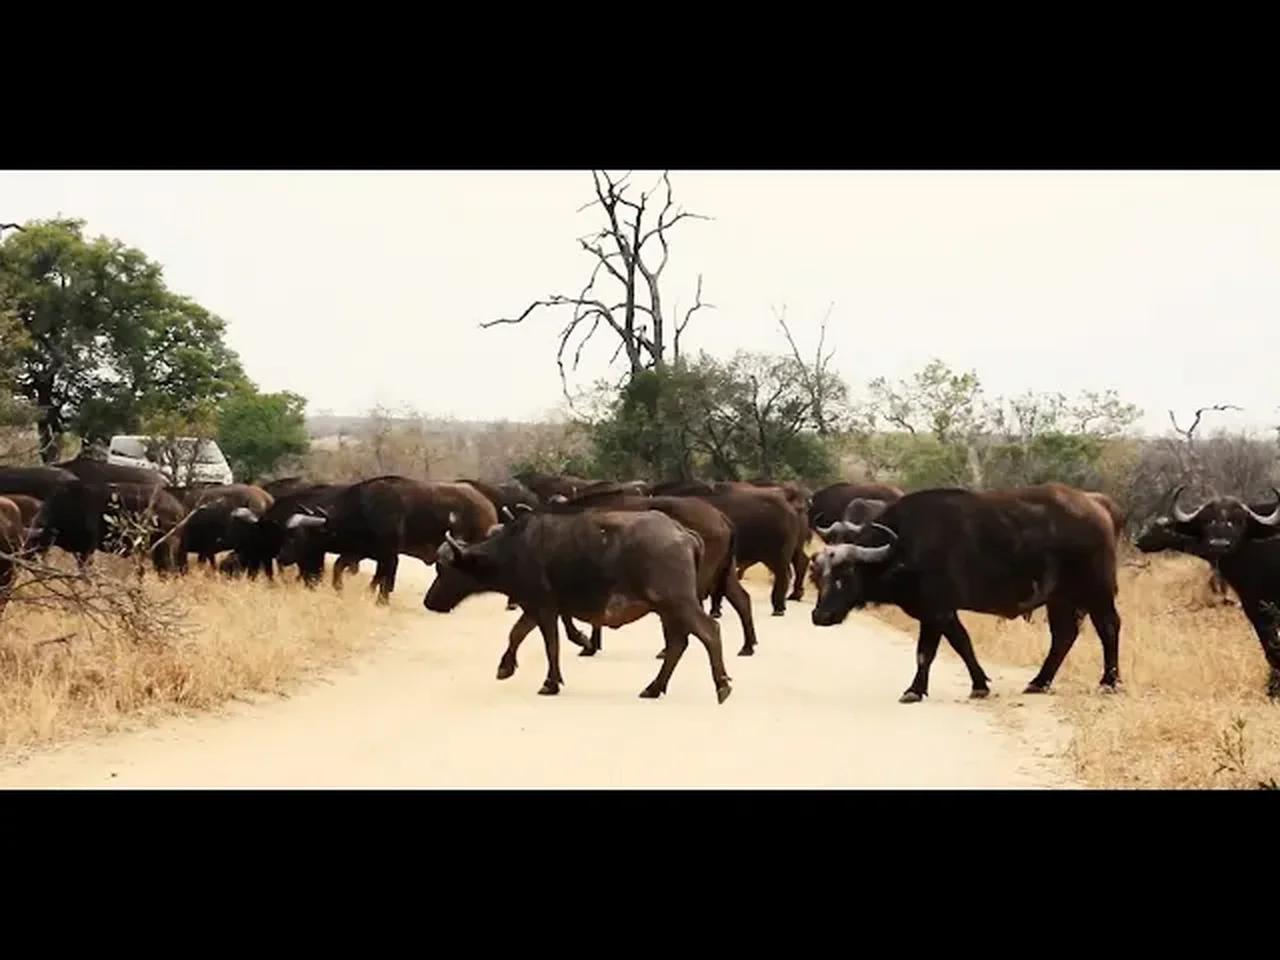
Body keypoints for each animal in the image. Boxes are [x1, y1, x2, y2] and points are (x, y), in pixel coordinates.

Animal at [425, 508, 732, 703]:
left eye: (444, 569)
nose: (429, 601)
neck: (514, 551)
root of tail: (683, 533)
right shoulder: (534, 607)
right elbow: (516, 634)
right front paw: (506, 667)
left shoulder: (544, 608)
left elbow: (551, 644)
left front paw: (550, 683)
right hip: (667, 609)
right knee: (678, 643)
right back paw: (654, 687)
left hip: (678, 602)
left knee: (709, 631)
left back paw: (722, 685)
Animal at [808, 483, 1123, 703]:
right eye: (818, 578)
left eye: (844, 575)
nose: (820, 616)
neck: (904, 548)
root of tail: (1096, 504)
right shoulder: (940, 612)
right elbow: (955, 646)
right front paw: (975, 685)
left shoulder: (936, 611)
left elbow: (934, 651)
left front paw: (917, 689)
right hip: (1059, 599)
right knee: (1064, 635)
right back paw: (1038, 682)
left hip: (1097, 590)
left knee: (1109, 627)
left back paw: (1109, 682)